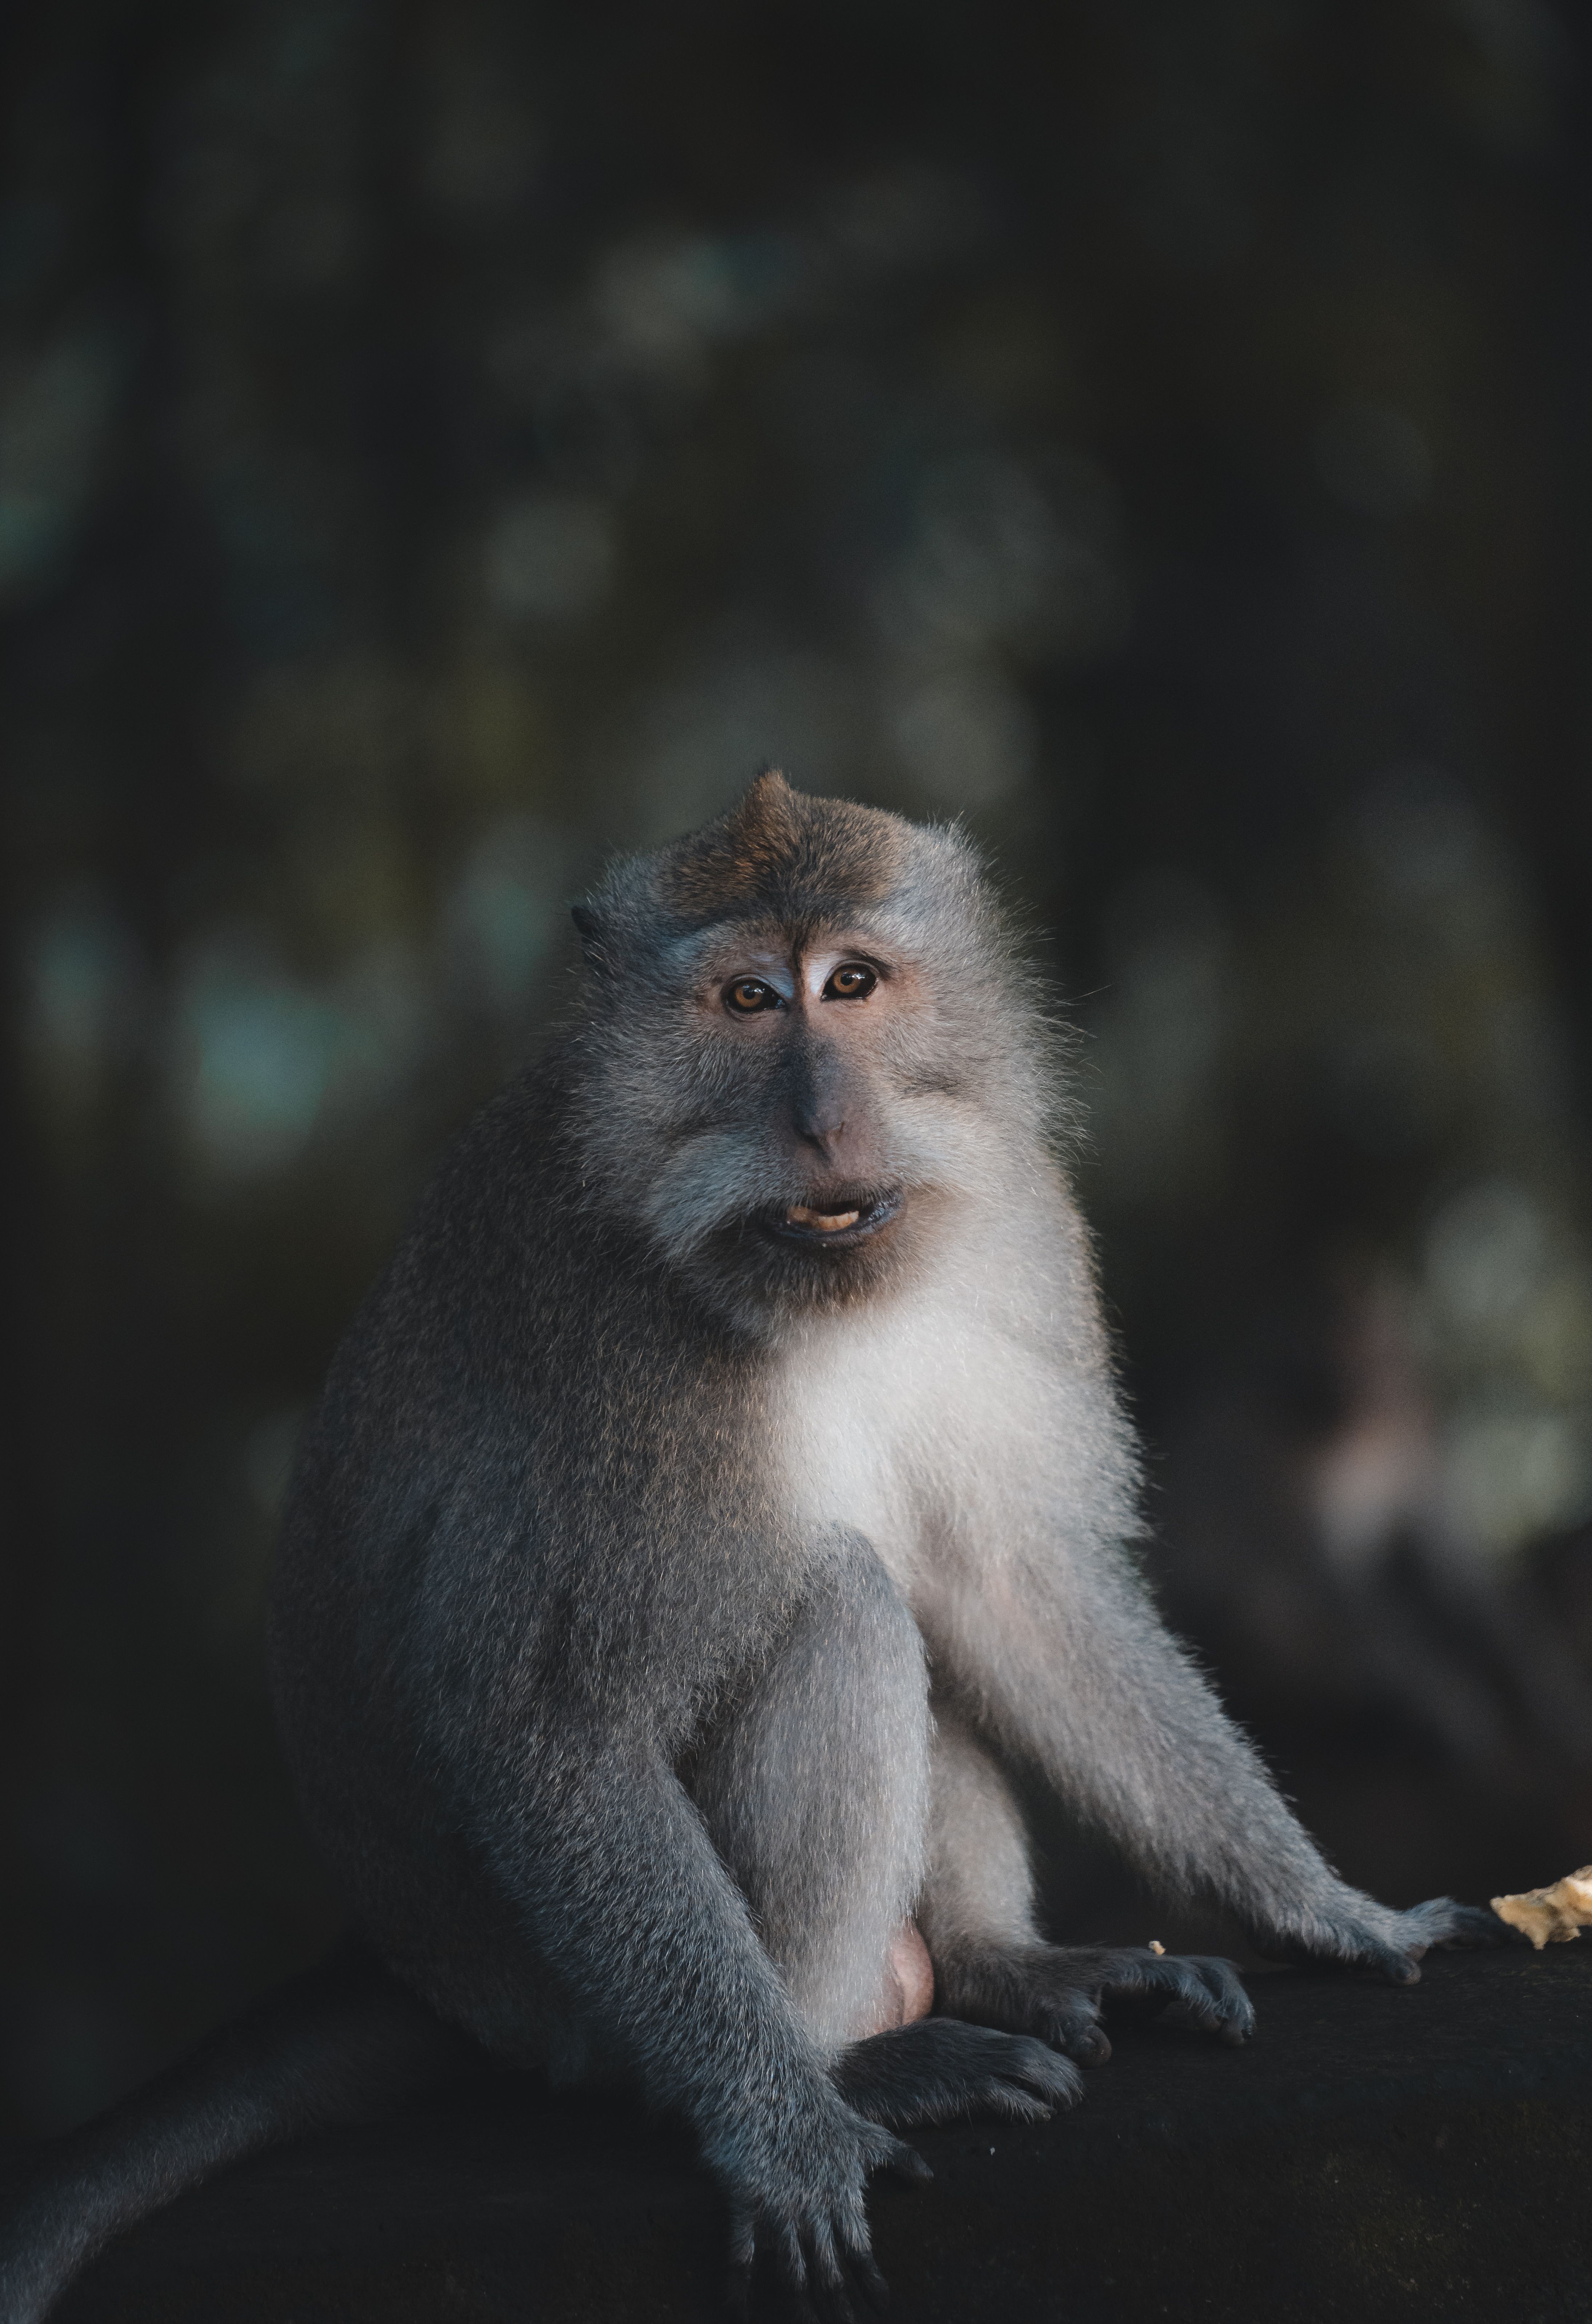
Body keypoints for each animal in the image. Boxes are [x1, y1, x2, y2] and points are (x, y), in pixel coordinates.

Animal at [0, 772, 1502, 2324]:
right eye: (744, 999)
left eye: (851, 984)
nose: (827, 1117)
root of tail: (406, 1964)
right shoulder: (621, 1369)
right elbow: (558, 1729)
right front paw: (781, 2130)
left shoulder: (1016, 1230)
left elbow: (1013, 1590)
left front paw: (1330, 1913)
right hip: (566, 2012)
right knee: (844, 1602)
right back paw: (855, 2066)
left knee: (908, 1591)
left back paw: (1007, 1966)